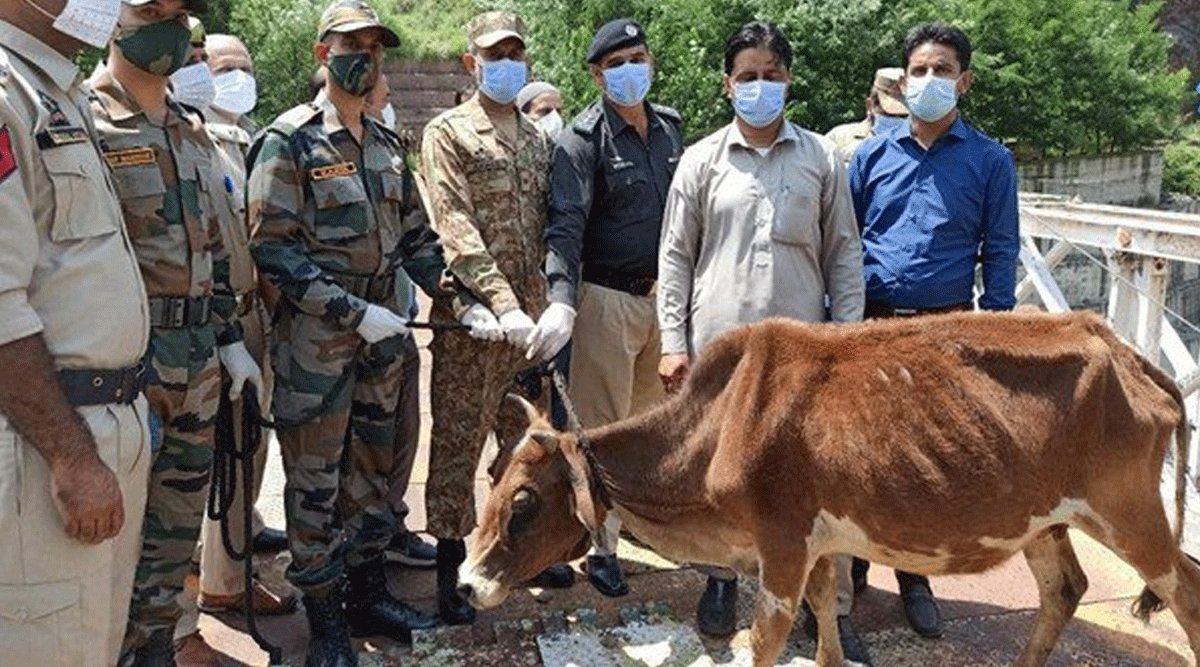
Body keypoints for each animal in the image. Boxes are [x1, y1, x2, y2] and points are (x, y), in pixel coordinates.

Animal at [458, 311, 1200, 667]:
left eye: (524, 501)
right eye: (491, 479)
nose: (465, 583)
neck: (720, 426)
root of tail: (1122, 349)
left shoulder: (782, 545)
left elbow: (767, 639)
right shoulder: (817, 543)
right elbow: (826, 634)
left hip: (1128, 513)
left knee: (1185, 591)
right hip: (1043, 519)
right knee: (1064, 589)